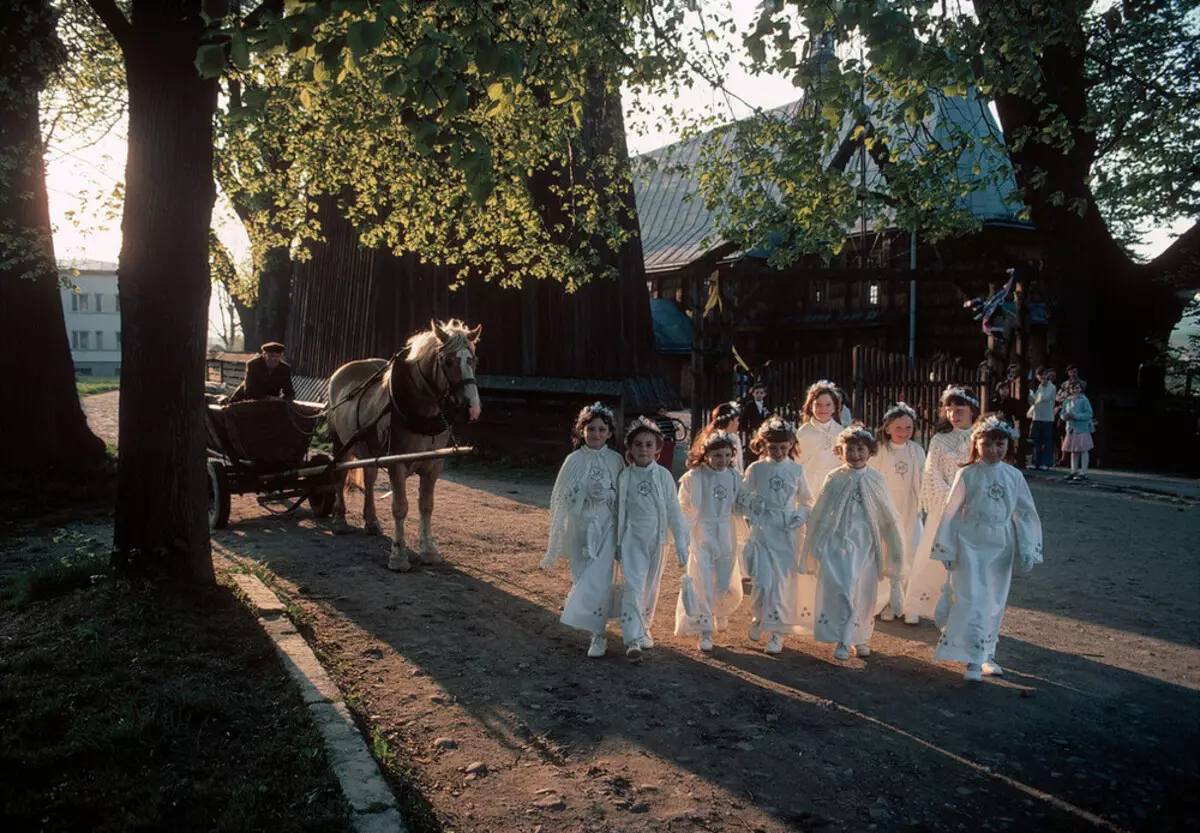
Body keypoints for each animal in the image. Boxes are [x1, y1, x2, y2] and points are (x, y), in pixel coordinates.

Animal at [328, 319, 482, 573]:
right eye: (448, 361)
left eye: (473, 360)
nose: (473, 408)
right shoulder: (396, 464)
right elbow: (400, 507)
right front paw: (399, 555)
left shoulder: (433, 465)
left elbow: (426, 506)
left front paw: (429, 551)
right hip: (340, 443)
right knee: (339, 476)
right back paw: (339, 519)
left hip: (368, 449)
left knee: (369, 479)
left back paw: (371, 520)